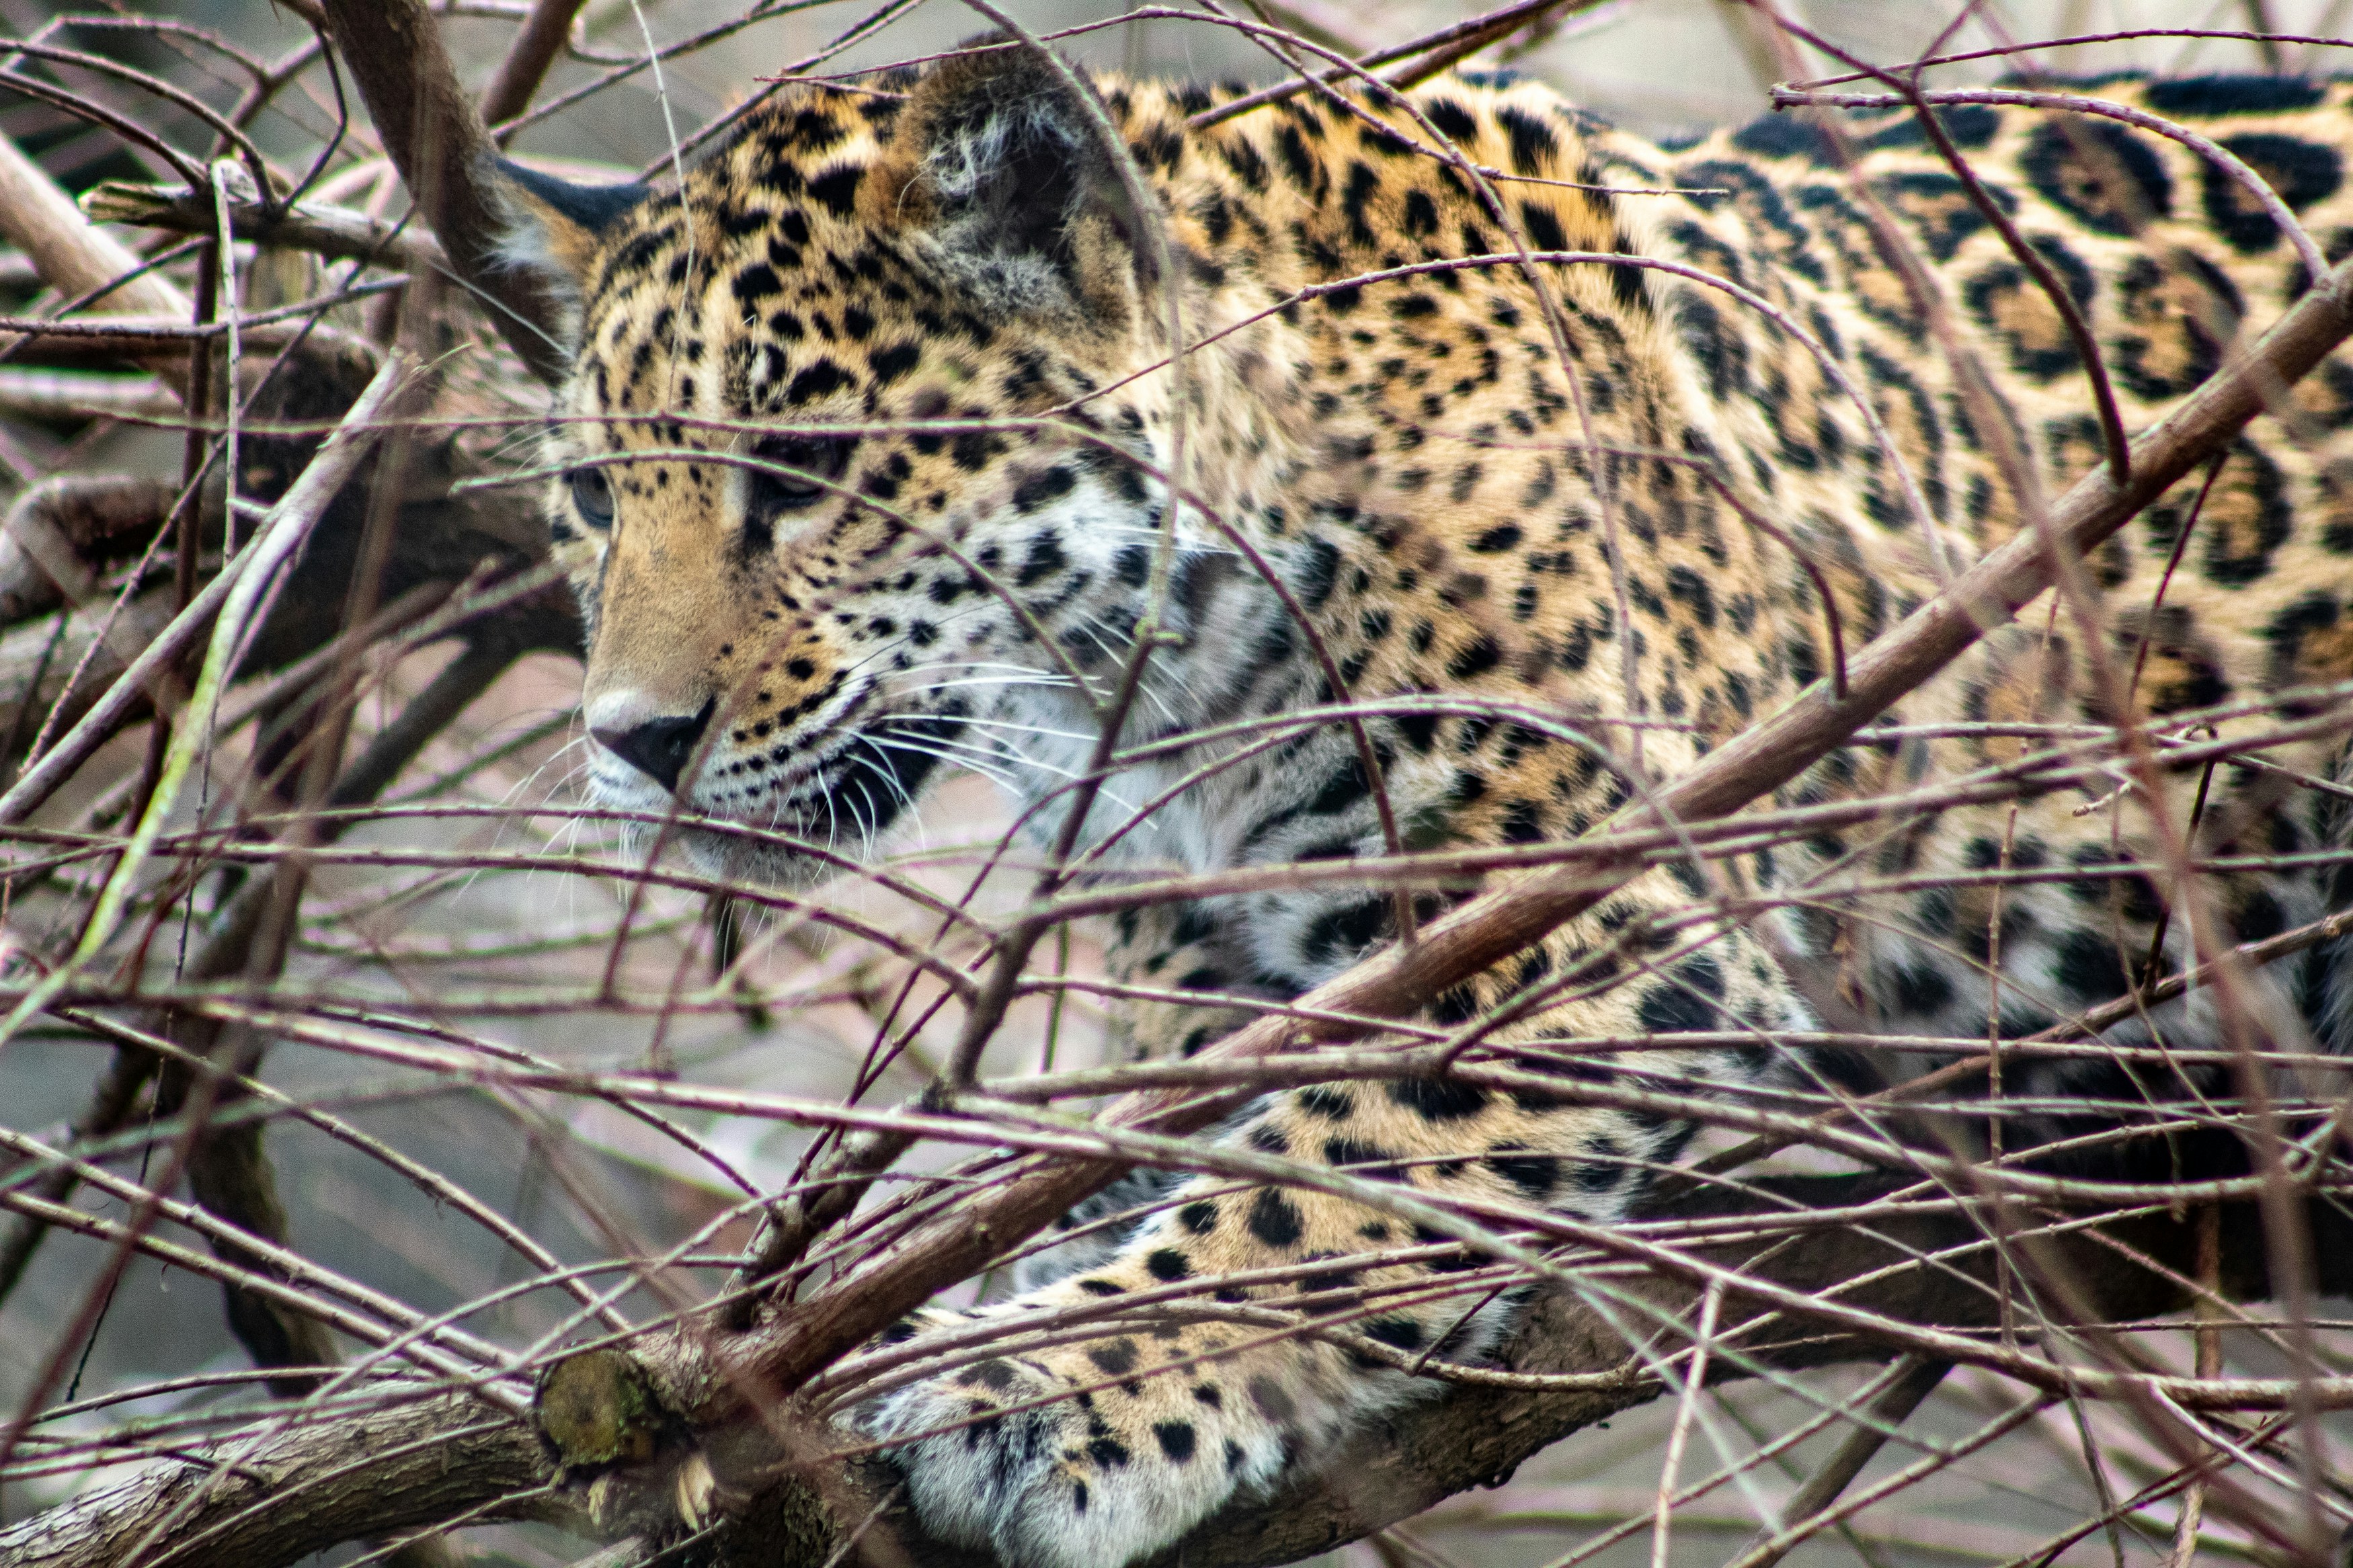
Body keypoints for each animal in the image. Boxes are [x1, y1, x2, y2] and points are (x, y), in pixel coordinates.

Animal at [496, 41, 2353, 1568]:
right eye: (591, 498)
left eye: (802, 474)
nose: (631, 740)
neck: (1166, 691)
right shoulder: (1203, 963)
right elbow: (1165, 1146)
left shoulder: (1592, 923)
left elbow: (1303, 1188)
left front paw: (1055, 1380)